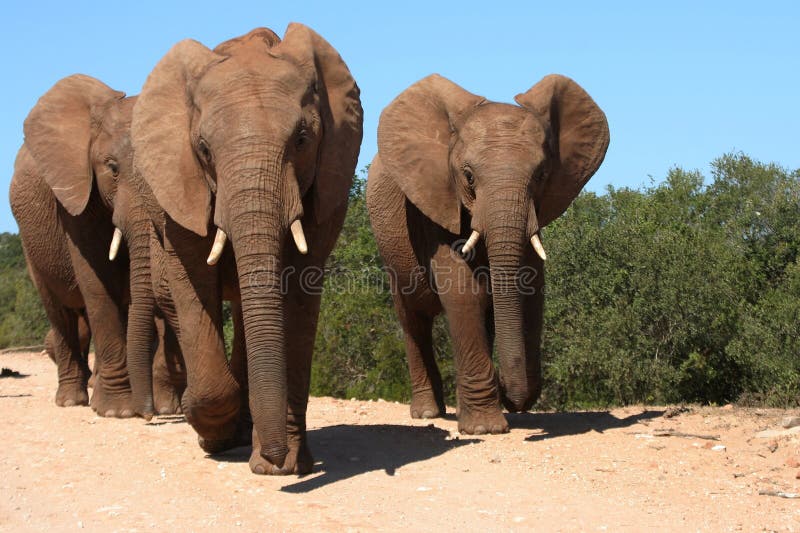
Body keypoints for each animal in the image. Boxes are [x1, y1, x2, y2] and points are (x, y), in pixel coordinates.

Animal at [9, 74, 184, 415]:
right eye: (112, 167)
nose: (147, 413)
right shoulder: (75, 195)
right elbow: (98, 280)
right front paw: (118, 411)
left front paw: (167, 408)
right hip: (29, 244)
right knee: (60, 313)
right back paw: (72, 400)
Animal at [128, 24, 362, 475]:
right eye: (203, 149)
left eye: (302, 140)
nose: (273, 457)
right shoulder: (182, 188)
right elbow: (193, 284)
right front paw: (213, 433)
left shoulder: (328, 184)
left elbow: (299, 297)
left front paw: (284, 466)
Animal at [367, 74, 609, 434]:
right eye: (468, 176)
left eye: (541, 175)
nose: (514, 397)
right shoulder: (437, 202)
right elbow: (464, 292)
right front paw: (484, 428)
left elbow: (530, 288)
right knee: (413, 318)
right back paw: (428, 413)